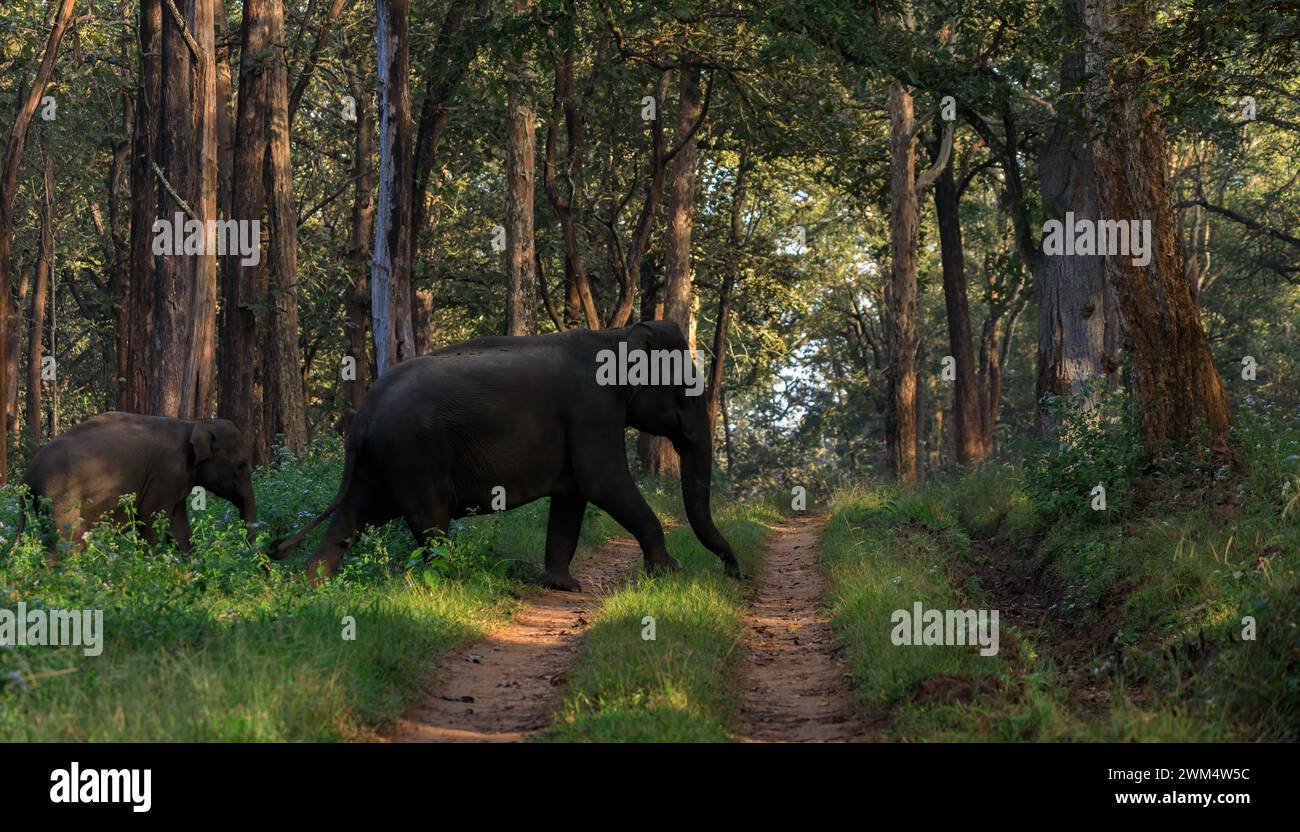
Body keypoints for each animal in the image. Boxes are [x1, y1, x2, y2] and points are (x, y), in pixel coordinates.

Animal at [10, 412, 256, 560]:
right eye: (241, 465)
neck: (195, 424)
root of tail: (26, 477)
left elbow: (178, 527)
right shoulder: (166, 473)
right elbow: (150, 517)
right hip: (59, 499)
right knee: (66, 543)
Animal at [272, 321, 741, 590]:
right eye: (685, 390)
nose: (734, 573)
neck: (617, 332)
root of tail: (363, 416)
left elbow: (572, 496)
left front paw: (560, 585)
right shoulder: (592, 411)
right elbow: (603, 482)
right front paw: (669, 571)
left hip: (378, 465)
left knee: (350, 520)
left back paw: (308, 588)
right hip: (412, 457)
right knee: (430, 523)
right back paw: (451, 581)